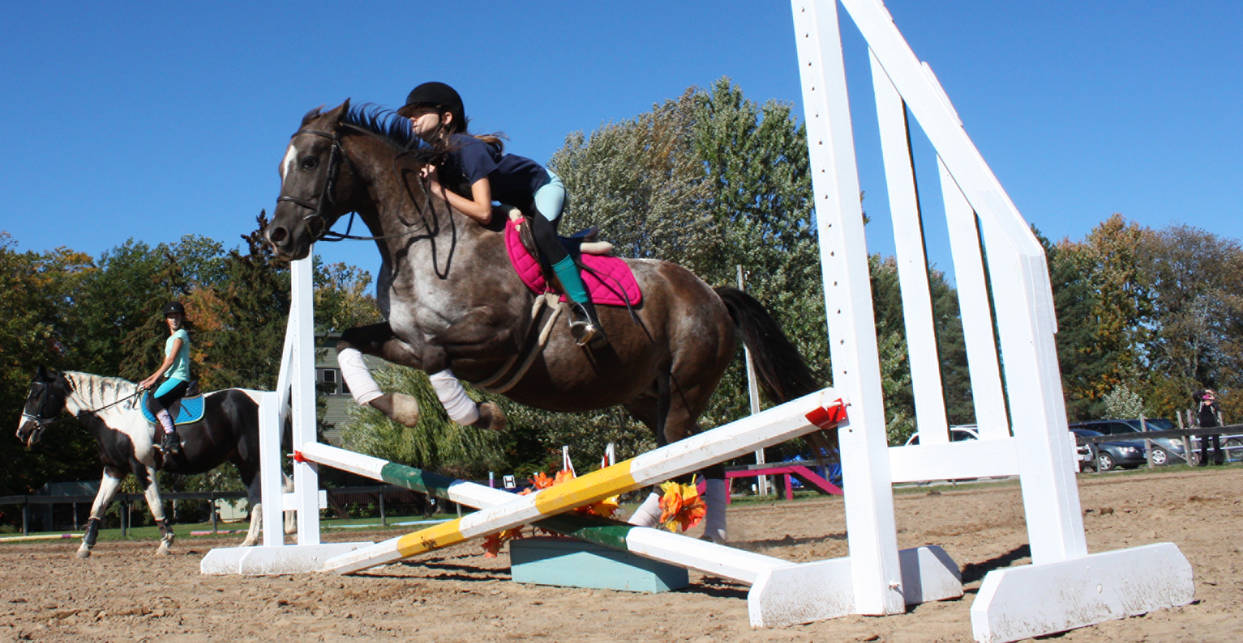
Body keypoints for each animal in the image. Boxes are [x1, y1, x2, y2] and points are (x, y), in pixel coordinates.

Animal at [15, 367, 291, 557]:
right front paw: (85, 546)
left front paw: (166, 541)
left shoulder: (142, 467)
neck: (115, 417)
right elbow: (98, 505)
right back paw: (259, 538)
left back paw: (271, 534)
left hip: (252, 459)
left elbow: (155, 502)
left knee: (272, 489)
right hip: (247, 461)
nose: (22, 432)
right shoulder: (114, 469)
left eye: (36, 394)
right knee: (274, 489)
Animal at [263, 101, 827, 541]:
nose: (280, 237)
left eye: (310, 161)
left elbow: (436, 356)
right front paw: (400, 408)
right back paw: (701, 537)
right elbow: (350, 342)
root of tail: (710, 292)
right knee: (698, 461)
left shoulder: (495, 340)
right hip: (647, 396)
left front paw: (480, 414)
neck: (424, 241)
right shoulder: (403, 336)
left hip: (684, 392)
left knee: (680, 464)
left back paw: (658, 533)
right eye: (282, 167)